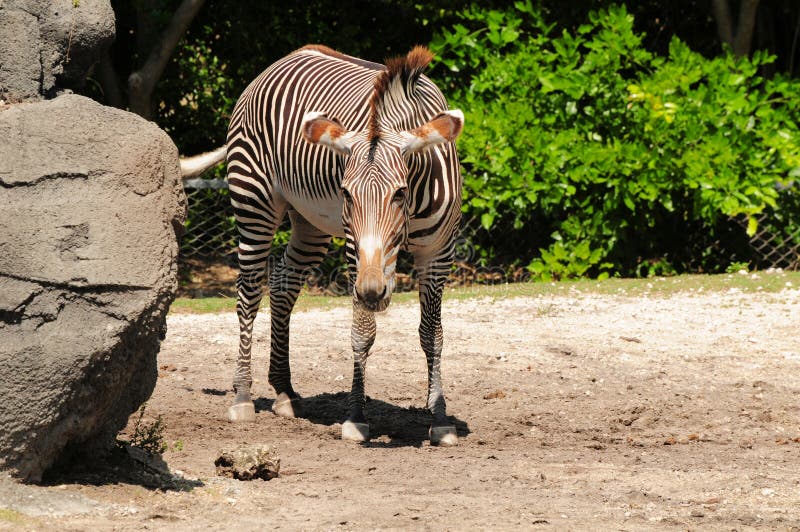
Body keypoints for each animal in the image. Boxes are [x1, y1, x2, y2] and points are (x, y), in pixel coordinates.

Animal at [225, 44, 464, 446]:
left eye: (399, 194)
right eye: (347, 194)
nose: (373, 291)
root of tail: (288, 56)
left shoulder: (438, 253)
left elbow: (433, 335)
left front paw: (440, 418)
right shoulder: (356, 249)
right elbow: (362, 333)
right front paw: (355, 417)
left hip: (311, 224)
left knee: (283, 285)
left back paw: (284, 391)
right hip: (254, 201)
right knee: (249, 292)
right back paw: (242, 395)